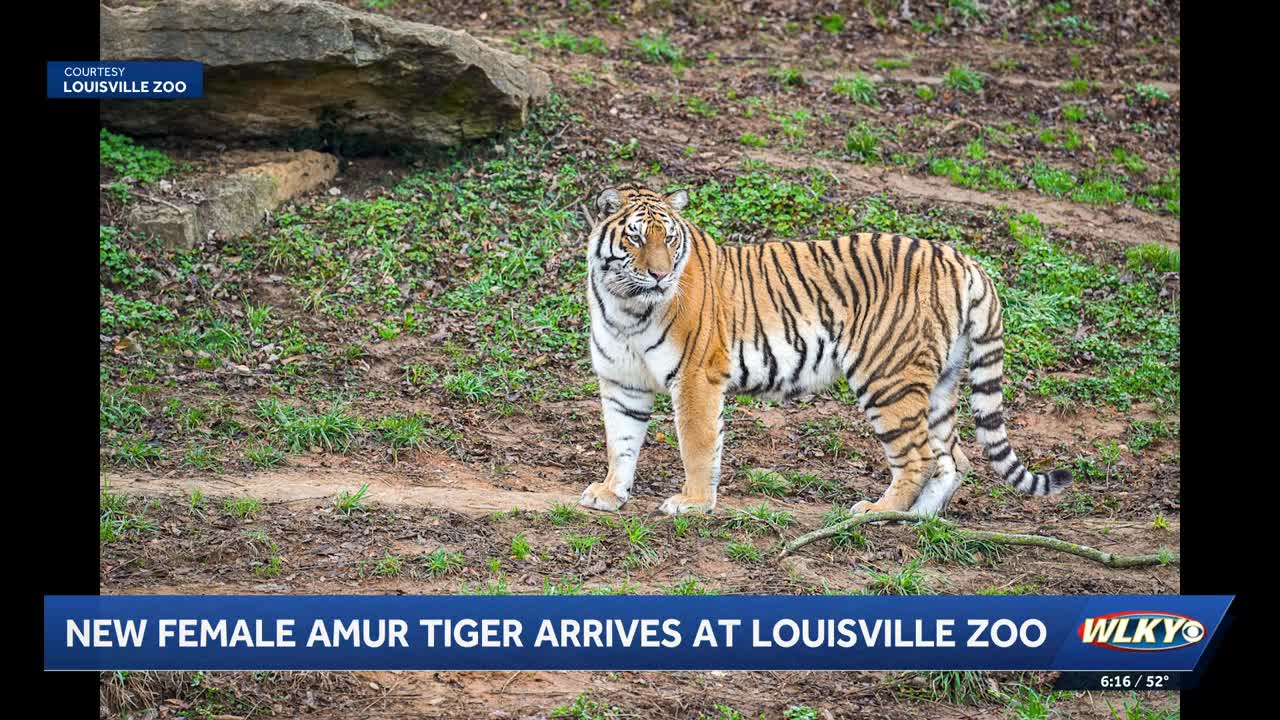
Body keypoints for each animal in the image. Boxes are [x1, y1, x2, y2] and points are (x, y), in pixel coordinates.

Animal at [580, 182, 1071, 517]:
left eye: (669, 238)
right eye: (636, 238)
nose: (661, 275)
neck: (625, 306)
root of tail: (964, 260)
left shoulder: (696, 378)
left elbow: (697, 446)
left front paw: (693, 503)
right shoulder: (622, 383)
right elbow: (620, 442)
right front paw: (609, 493)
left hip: (888, 377)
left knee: (920, 456)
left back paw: (878, 513)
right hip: (940, 382)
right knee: (954, 458)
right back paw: (916, 520)